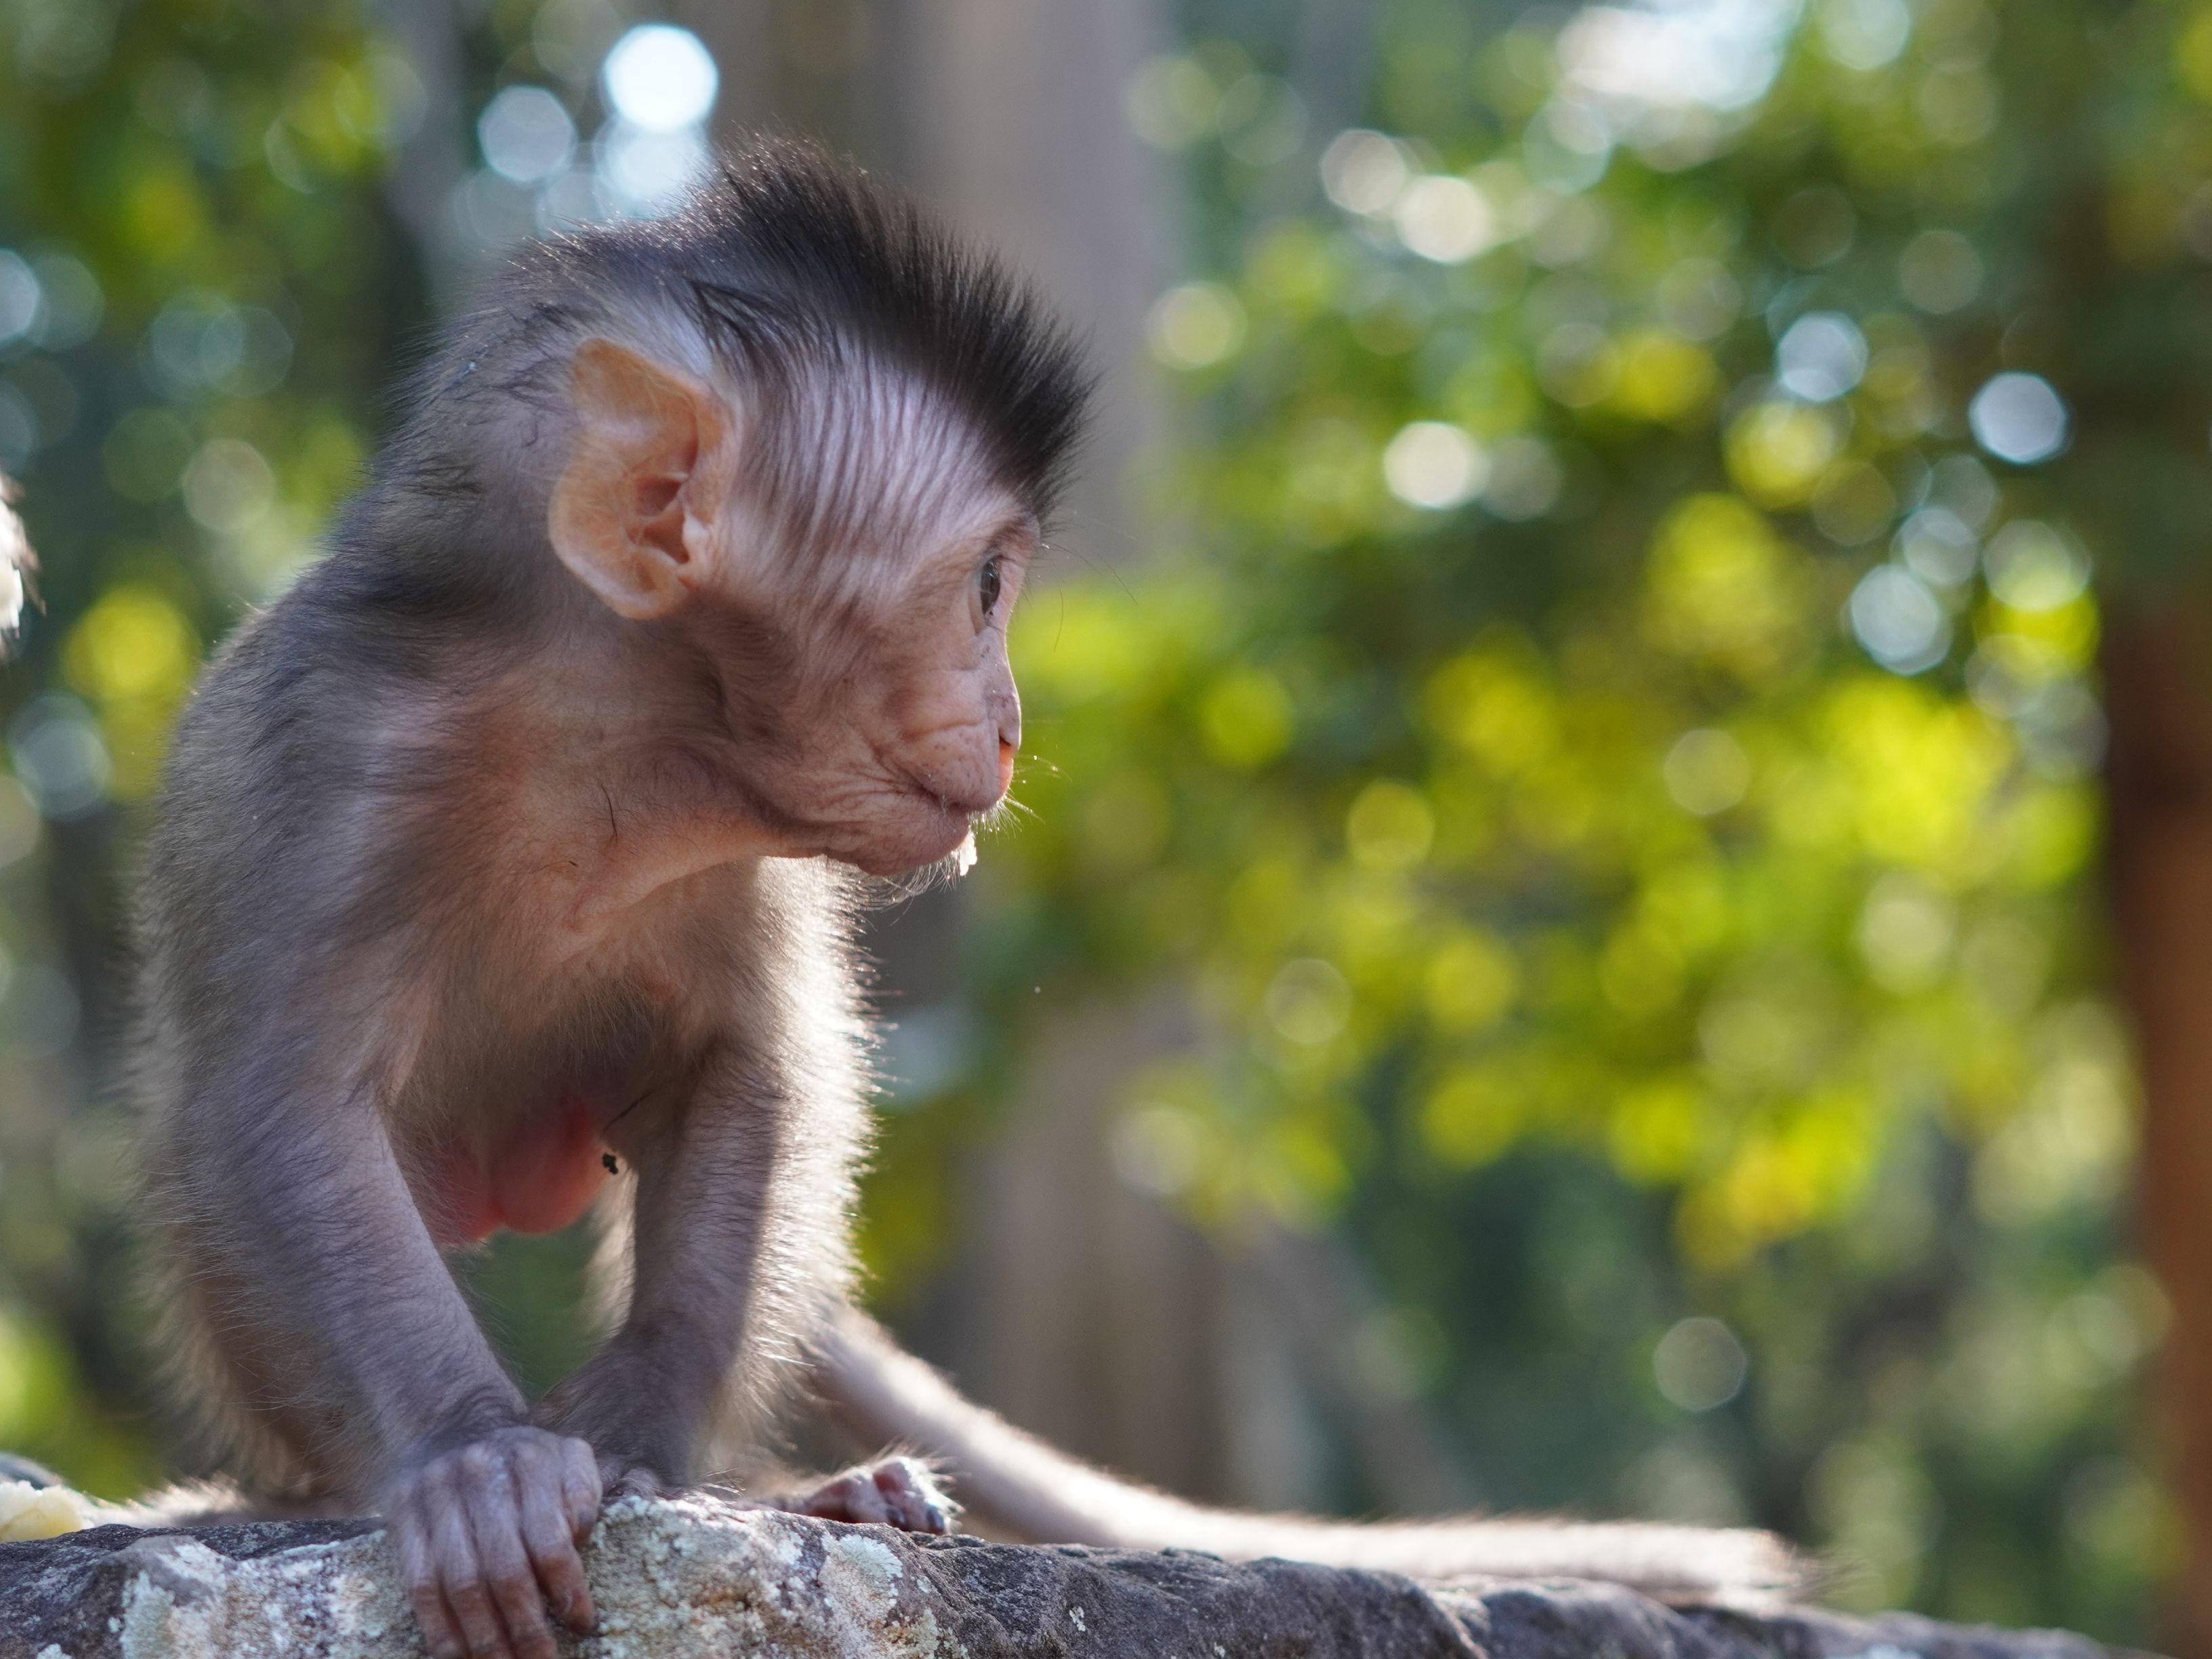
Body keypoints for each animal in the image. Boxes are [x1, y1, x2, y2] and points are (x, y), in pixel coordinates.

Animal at [106, 143, 1796, 1659]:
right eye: (985, 586)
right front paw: (472, 1459)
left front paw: (645, 1436)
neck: (604, 743)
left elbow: (745, 1076)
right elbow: (282, 1109)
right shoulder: (337, 766)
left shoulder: (742, 865)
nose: (1014, 721)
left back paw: (811, 1492)